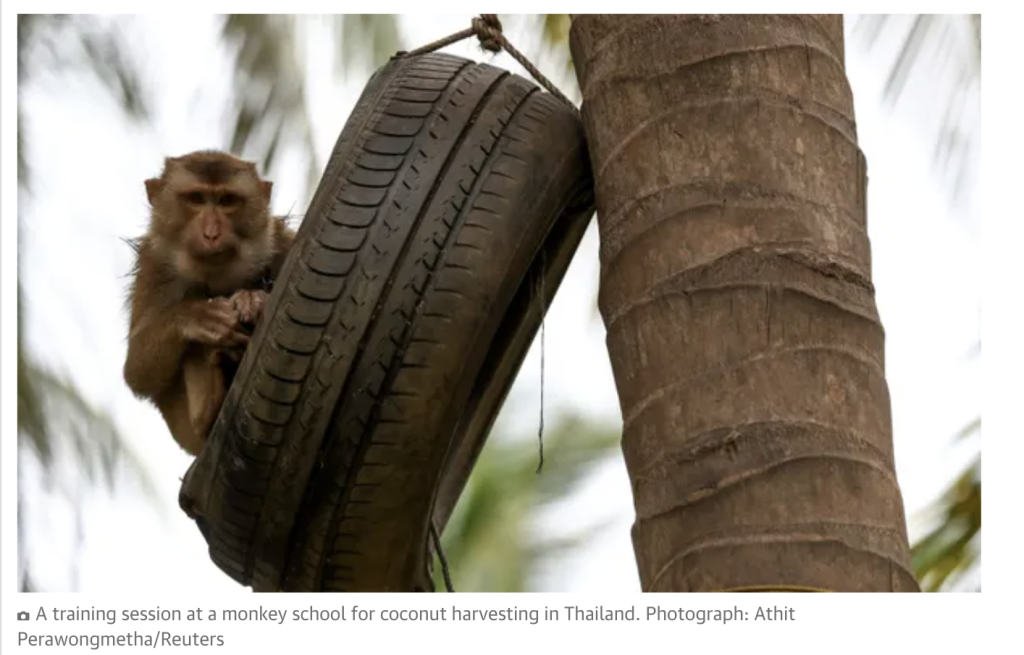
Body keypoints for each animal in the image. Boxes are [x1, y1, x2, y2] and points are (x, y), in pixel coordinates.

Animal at [123, 150, 296, 456]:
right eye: (196, 199)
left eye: (227, 201)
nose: (211, 234)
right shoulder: (153, 265)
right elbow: (137, 371)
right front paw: (197, 317)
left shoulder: (280, 241)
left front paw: (252, 298)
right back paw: (207, 410)